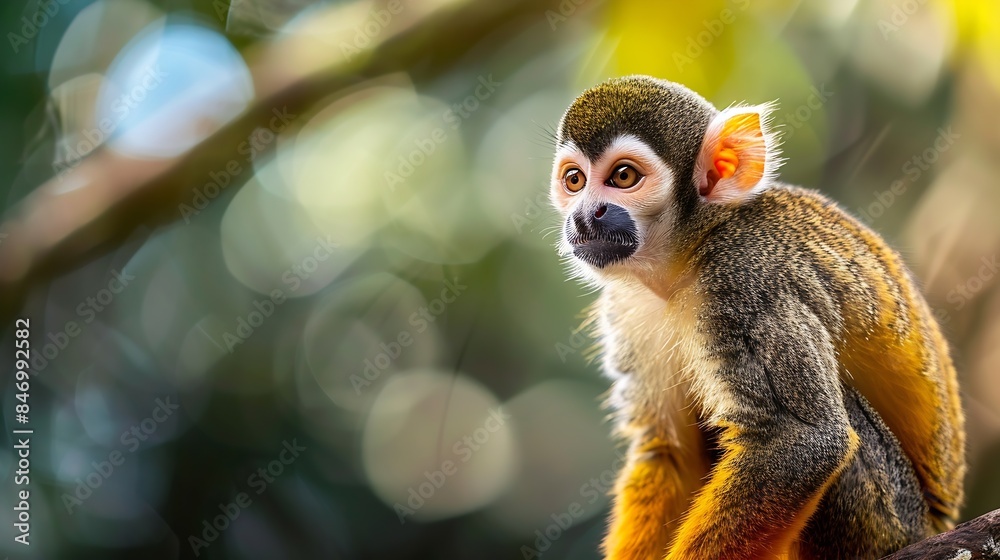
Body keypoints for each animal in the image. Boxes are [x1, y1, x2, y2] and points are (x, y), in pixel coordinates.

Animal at [548, 75, 965, 559]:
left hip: (894, 519)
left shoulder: (746, 282)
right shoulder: (626, 305)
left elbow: (801, 439)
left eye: (623, 177)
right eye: (574, 181)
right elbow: (667, 449)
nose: (584, 214)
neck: (685, 257)